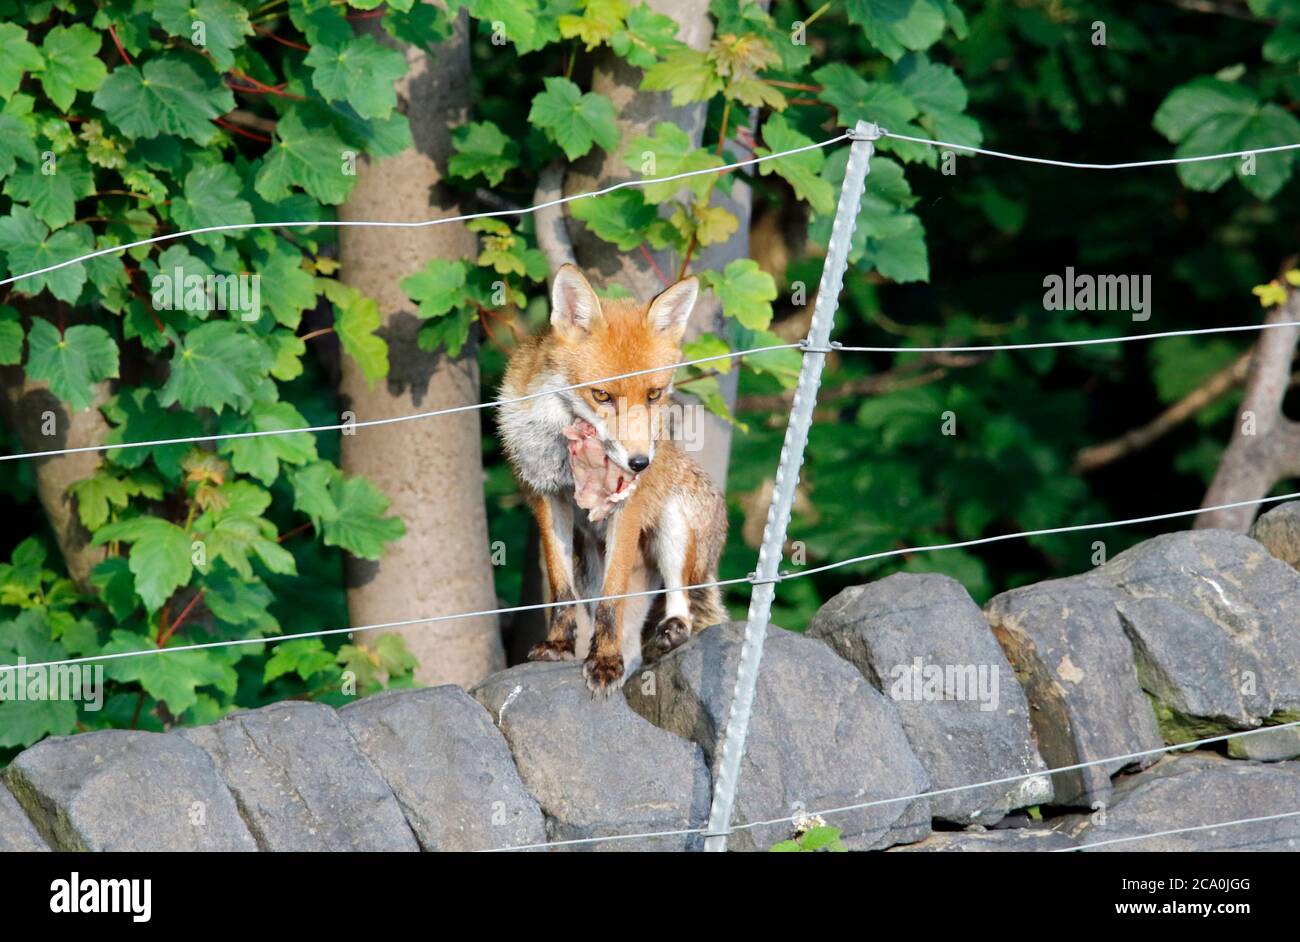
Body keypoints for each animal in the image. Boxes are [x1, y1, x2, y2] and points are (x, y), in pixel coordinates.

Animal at [497, 264, 728, 695]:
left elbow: (613, 596)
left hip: (676, 526)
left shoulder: (628, 507)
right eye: (602, 396)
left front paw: (604, 661)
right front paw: (559, 644)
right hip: (587, 560)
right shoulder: (546, 497)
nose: (639, 463)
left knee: (682, 600)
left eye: (654, 394)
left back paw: (671, 632)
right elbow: (560, 588)